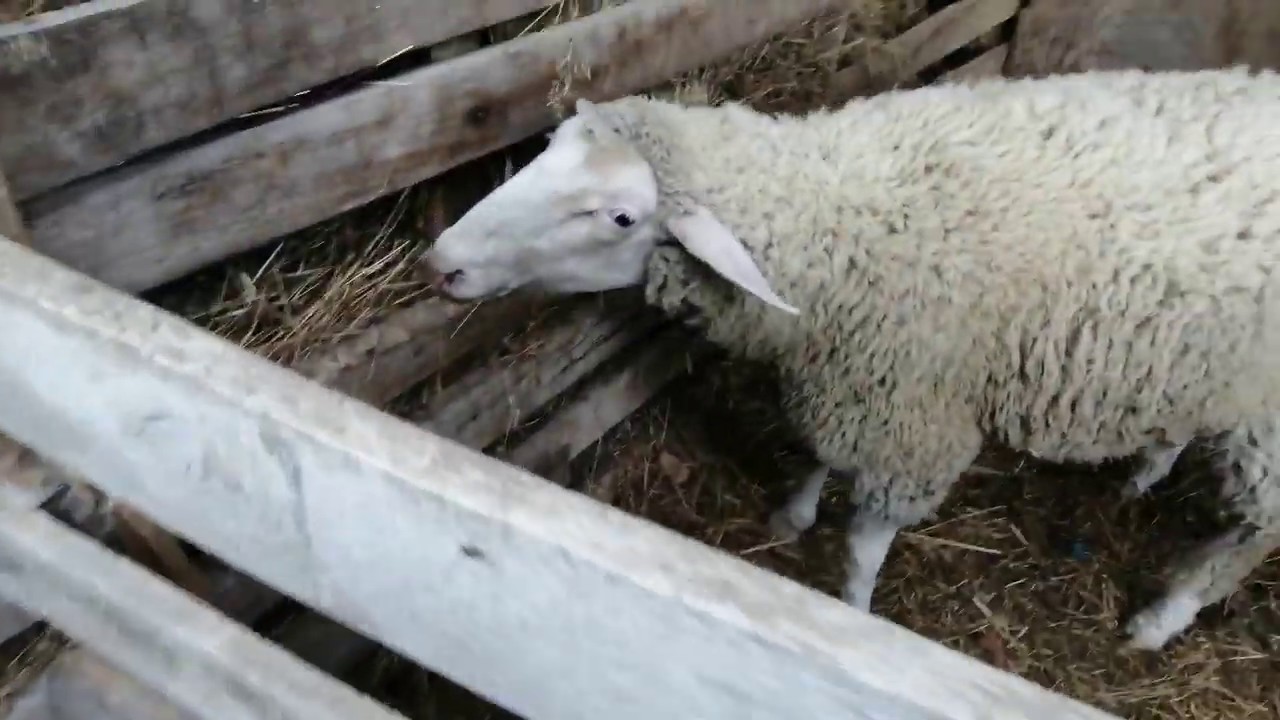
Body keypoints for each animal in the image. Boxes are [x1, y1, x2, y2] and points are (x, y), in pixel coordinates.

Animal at [420, 65, 1280, 650]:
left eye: (621, 217)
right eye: (548, 149)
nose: (444, 263)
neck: (842, 214)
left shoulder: (914, 418)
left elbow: (865, 549)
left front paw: (852, 616)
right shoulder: (847, 374)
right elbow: (817, 452)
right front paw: (793, 514)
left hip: (1268, 435)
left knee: (1249, 535)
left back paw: (1160, 619)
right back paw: (1144, 473)